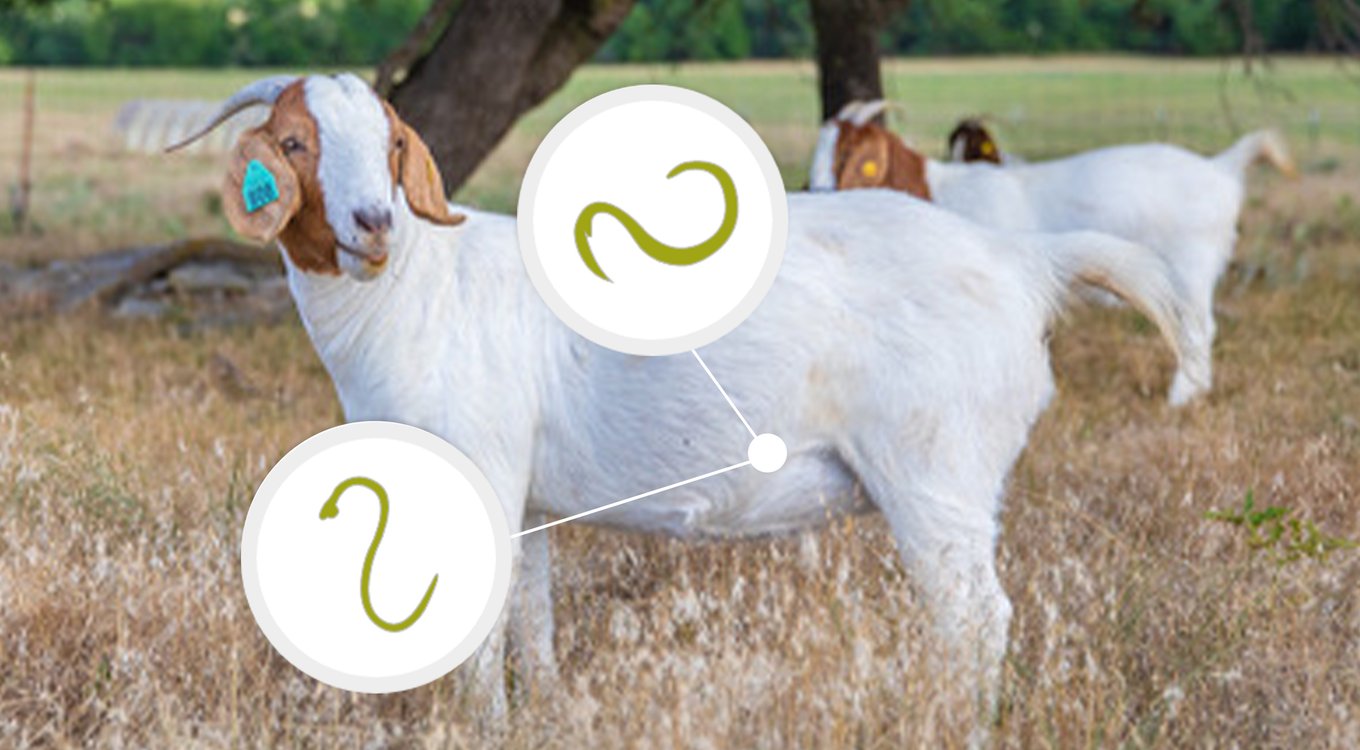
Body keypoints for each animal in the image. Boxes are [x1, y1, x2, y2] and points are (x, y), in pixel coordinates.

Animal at [170, 74, 1205, 737]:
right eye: (295, 144)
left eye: (389, 145)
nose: (374, 222)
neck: (422, 288)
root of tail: (1024, 265)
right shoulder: (523, 496)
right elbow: (530, 618)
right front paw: (540, 717)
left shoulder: (478, 469)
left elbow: (478, 635)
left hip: (934, 469)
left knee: (977, 617)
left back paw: (960, 724)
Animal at [811, 100, 1295, 405]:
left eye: (851, 154)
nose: (815, 191)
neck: (943, 192)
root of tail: (1221, 168)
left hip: (1189, 267)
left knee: (1196, 326)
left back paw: (1183, 397)